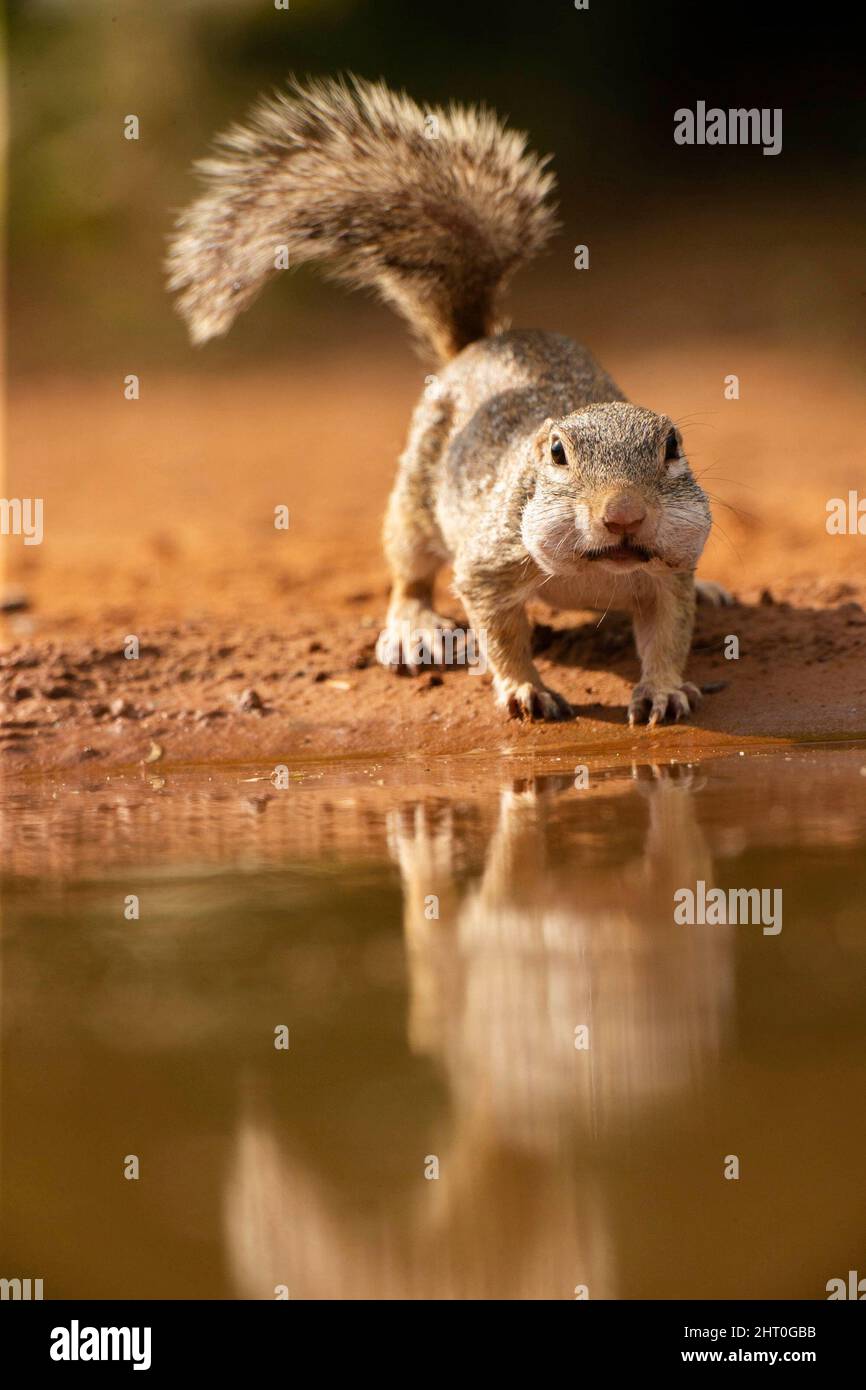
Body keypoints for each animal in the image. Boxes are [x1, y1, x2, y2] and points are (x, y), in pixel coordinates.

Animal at [168, 74, 729, 724]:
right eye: (557, 454)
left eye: (673, 447)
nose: (623, 514)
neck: (601, 570)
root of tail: (478, 347)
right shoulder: (490, 562)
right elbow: (500, 633)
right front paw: (524, 689)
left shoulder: (667, 578)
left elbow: (668, 635)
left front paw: (663, 687)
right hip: (414, 496)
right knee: (408, 569)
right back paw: (414, 626)